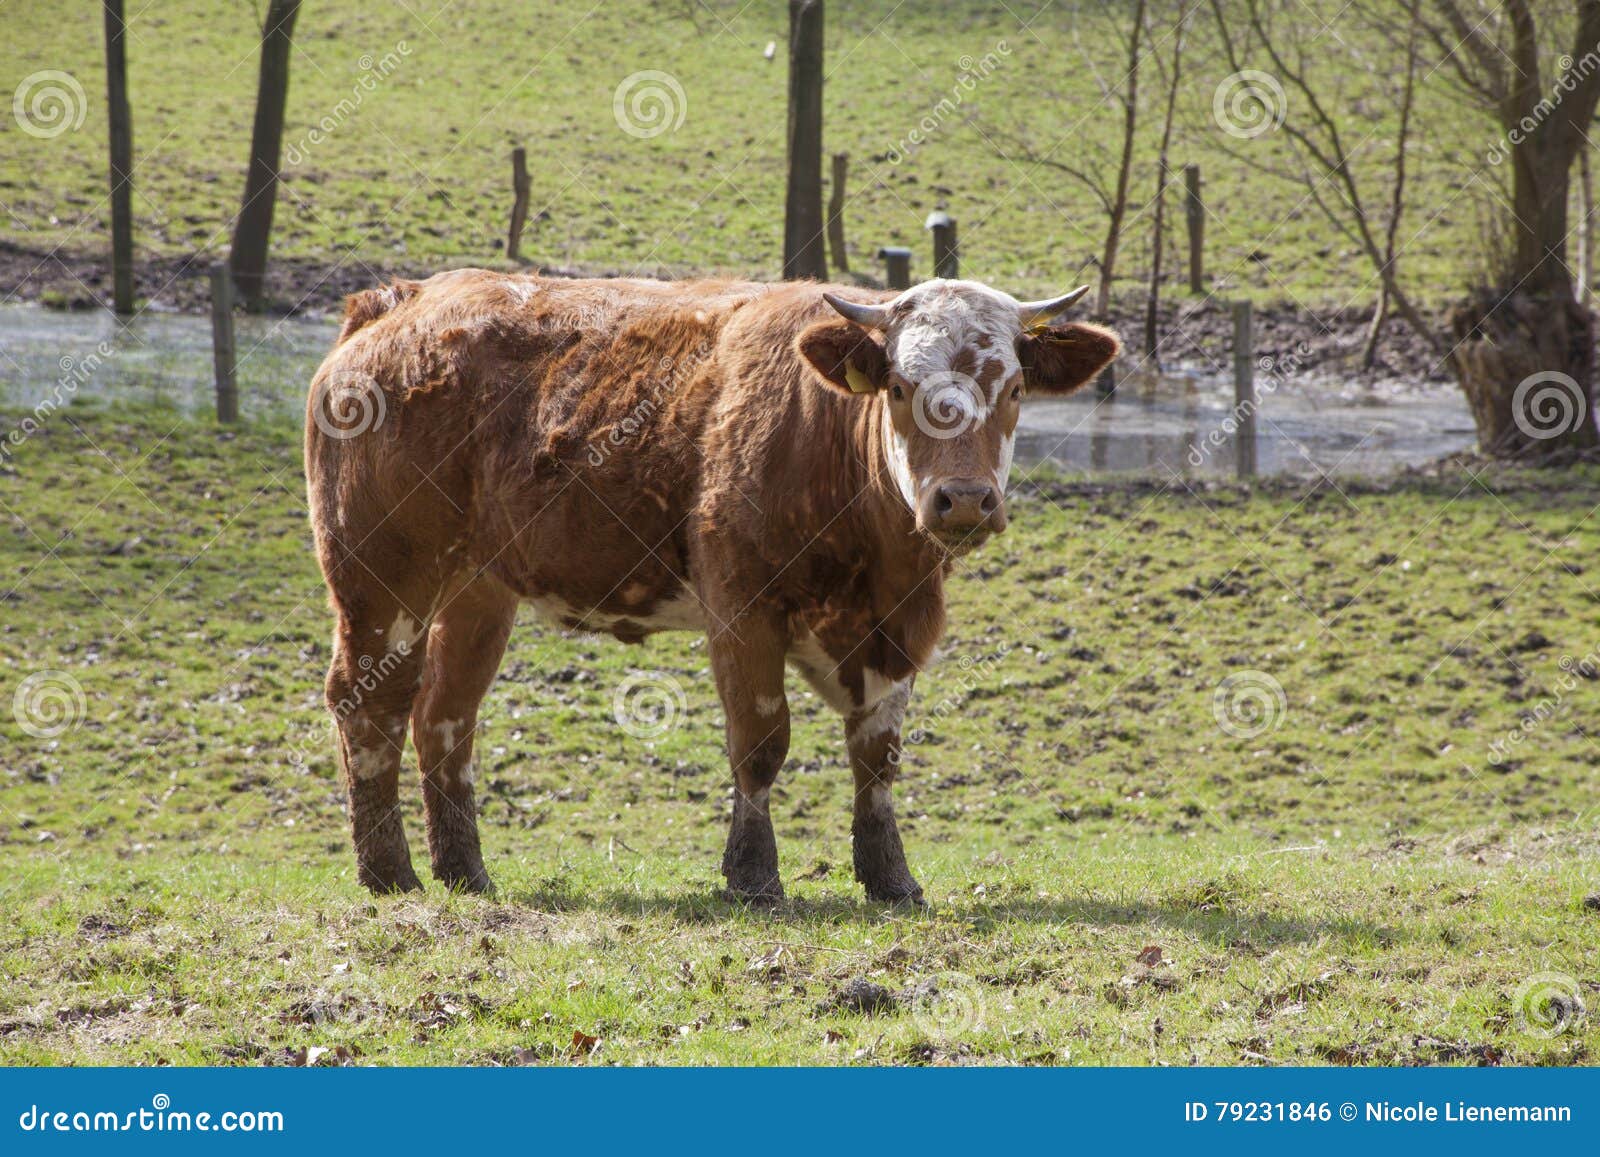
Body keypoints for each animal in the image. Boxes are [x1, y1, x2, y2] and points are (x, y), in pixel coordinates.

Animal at [305, 271, 1119, 903]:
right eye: (897, 385)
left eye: (1013, 387)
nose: (965, 499)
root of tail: (399, 299)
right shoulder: (742, 611)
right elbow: (761, 743)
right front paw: (754, 877)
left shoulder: (900, 627)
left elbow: (878, 754)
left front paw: (891, 879)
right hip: (383, 579)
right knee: (369, 704)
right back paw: (390, 874)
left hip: (477, 590)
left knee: (444, 717)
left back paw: (465, 874)